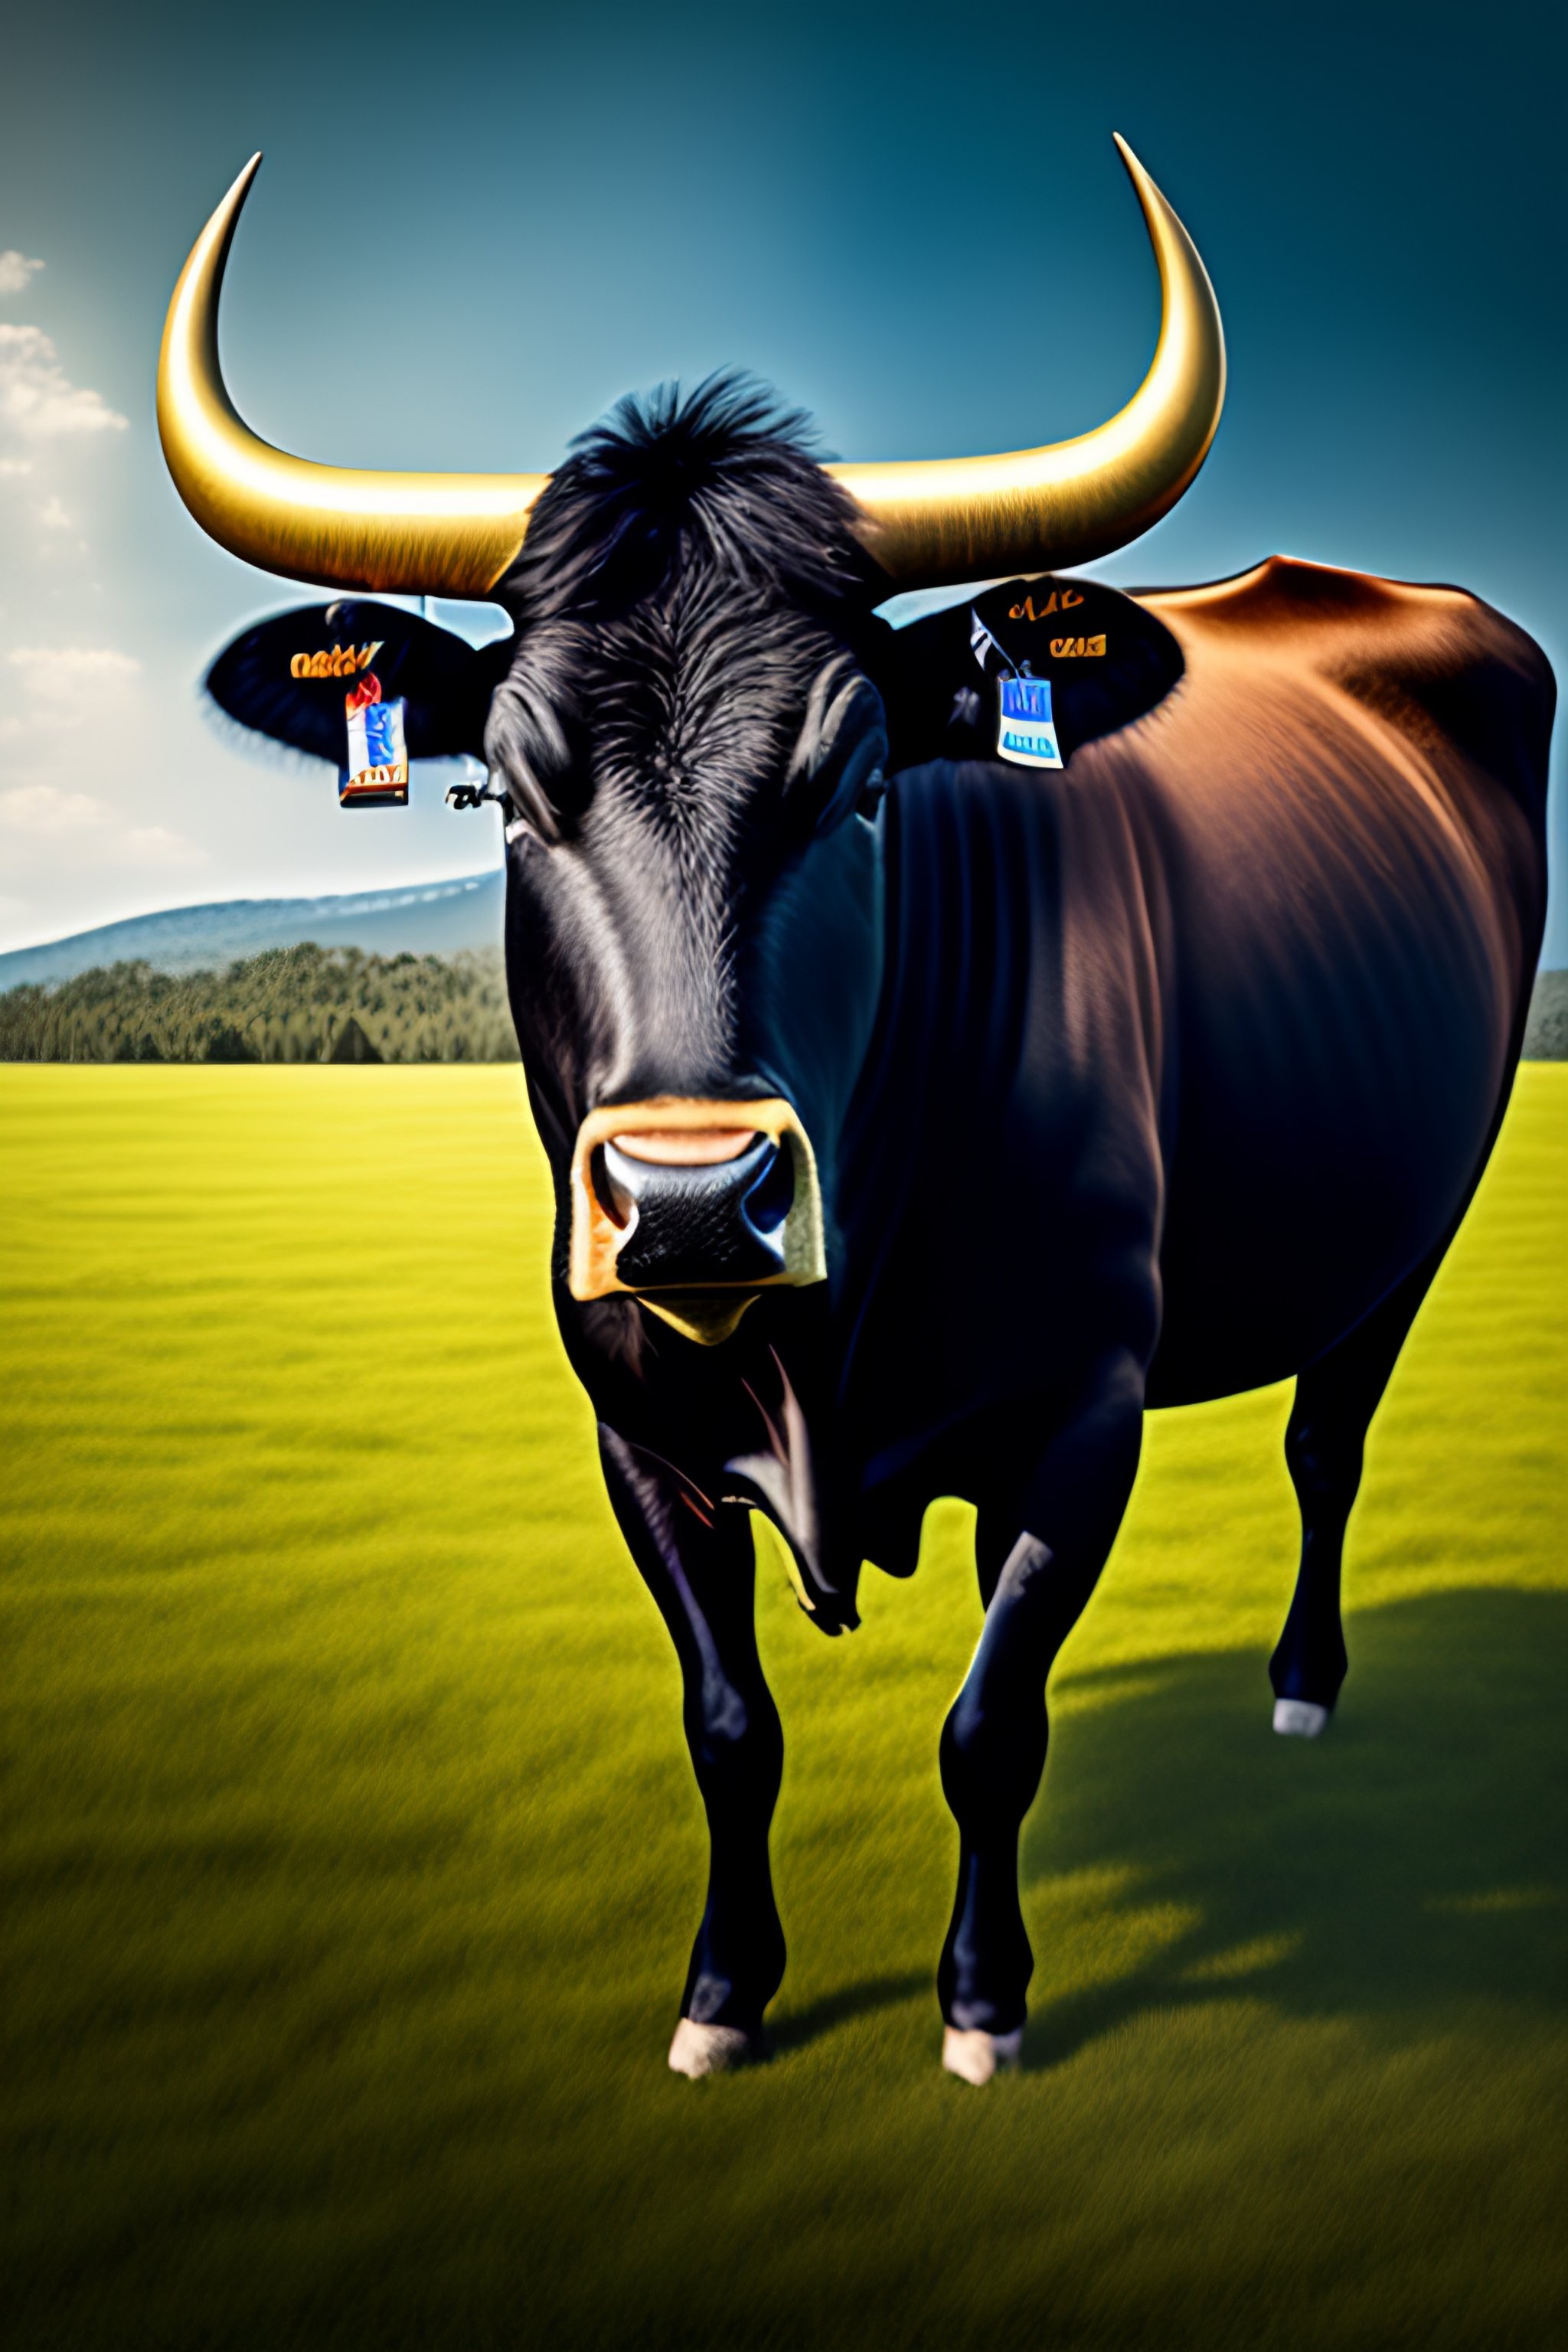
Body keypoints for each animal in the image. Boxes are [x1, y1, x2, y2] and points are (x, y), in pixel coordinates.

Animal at [160, 144, 1553, 2086]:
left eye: (864, 774)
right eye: (502, 786)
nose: (688, 1204)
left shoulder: (1079, 1416)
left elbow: (991, 1726)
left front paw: (982, 1999)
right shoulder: (633, 1428)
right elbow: (727, 1721)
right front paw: (723, 1991)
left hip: (1413, 1219)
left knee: (1327, 1440)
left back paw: (1299, 1682)